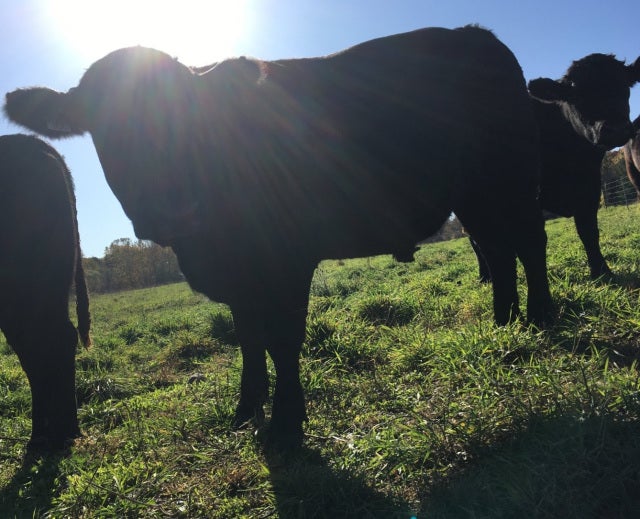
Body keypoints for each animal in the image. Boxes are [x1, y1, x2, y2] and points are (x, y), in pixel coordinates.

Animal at [472, 54, 640, 283]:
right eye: (577, 95)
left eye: (624, 86)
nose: (616, 130)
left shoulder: (589, 185)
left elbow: (588, 230)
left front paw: (602, 272)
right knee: (478, 241)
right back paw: (485, 276)